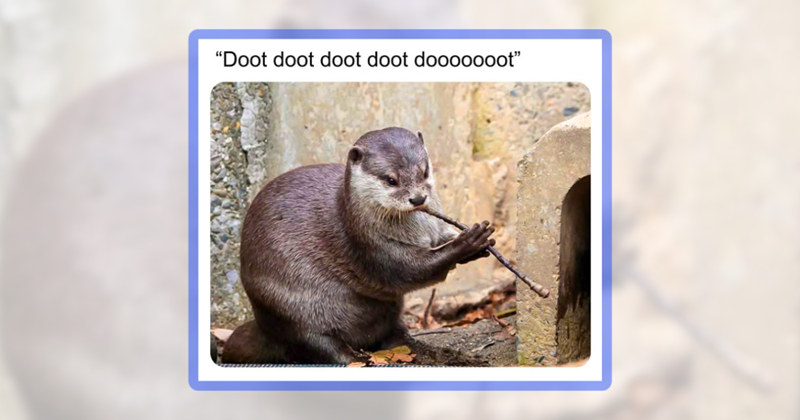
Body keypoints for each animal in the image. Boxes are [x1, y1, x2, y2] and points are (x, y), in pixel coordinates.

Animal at [224, 127, 495, 364]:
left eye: (424, 171)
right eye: (391, 179)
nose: (418, 198)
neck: (418, 231)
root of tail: (262, 326)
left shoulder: (434, 230)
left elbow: (439, 242)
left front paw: (477, 245)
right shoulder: (369, 244)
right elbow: (410, 270)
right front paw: (466, 243)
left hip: (388, 311)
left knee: (392, 334)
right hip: (287, 308)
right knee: (316, 344)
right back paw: (358, 359)